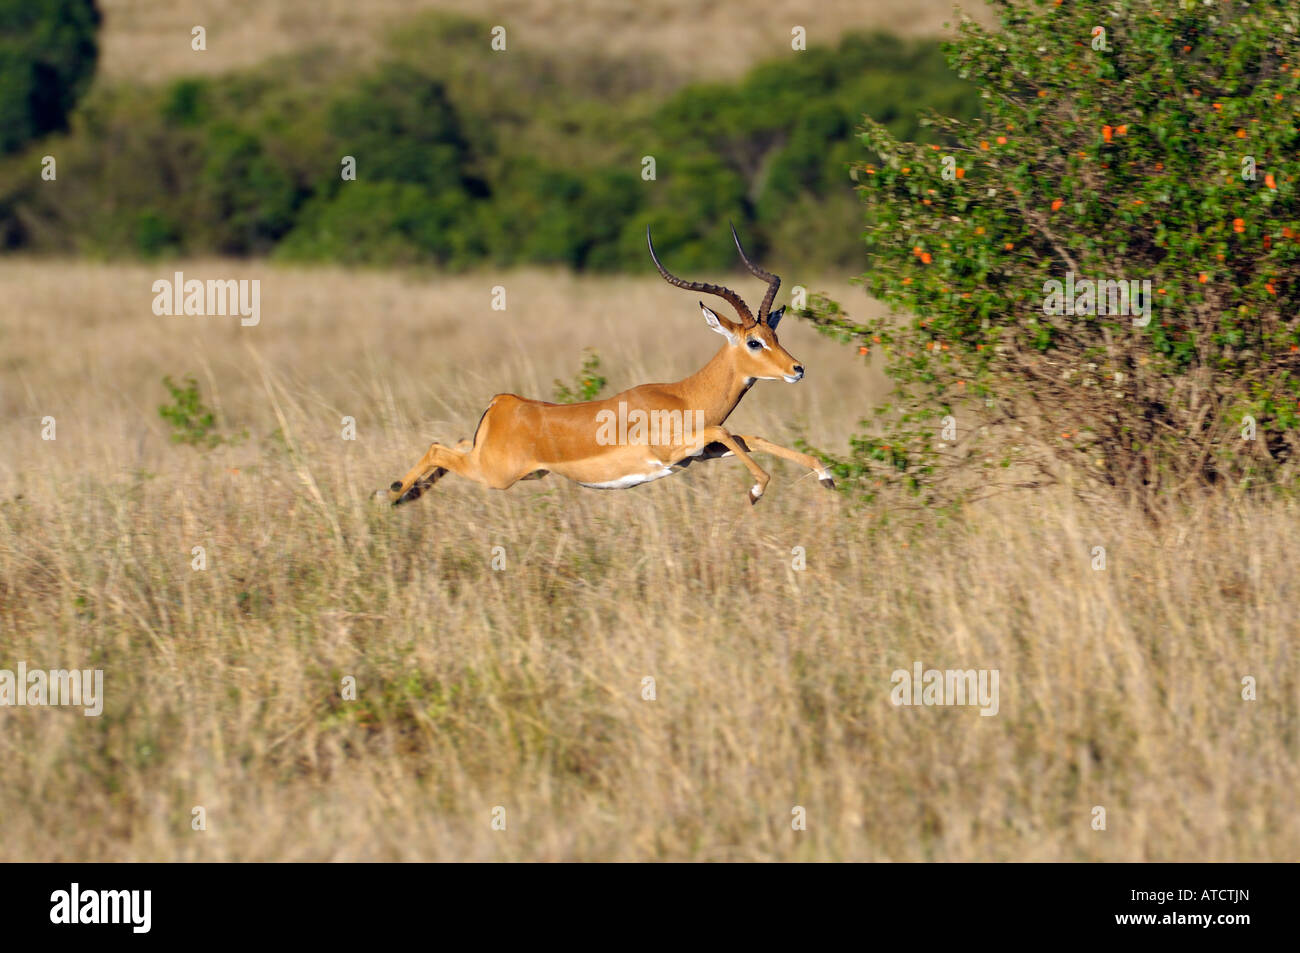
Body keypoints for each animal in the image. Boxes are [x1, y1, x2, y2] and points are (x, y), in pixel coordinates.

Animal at [384, 225, 835, 507]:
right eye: (754, 341)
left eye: (776, 334)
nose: (798, 369)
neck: (682, 396)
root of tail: (503, 402)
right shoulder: (671, 450)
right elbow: (725, 430)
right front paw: (757, 491)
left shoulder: (699, 454)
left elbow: (748, 437)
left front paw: (826, 474)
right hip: (495, 474)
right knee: (437, 448)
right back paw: (391, 493)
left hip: (504, 467)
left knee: (453, 445)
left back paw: (407, 495)